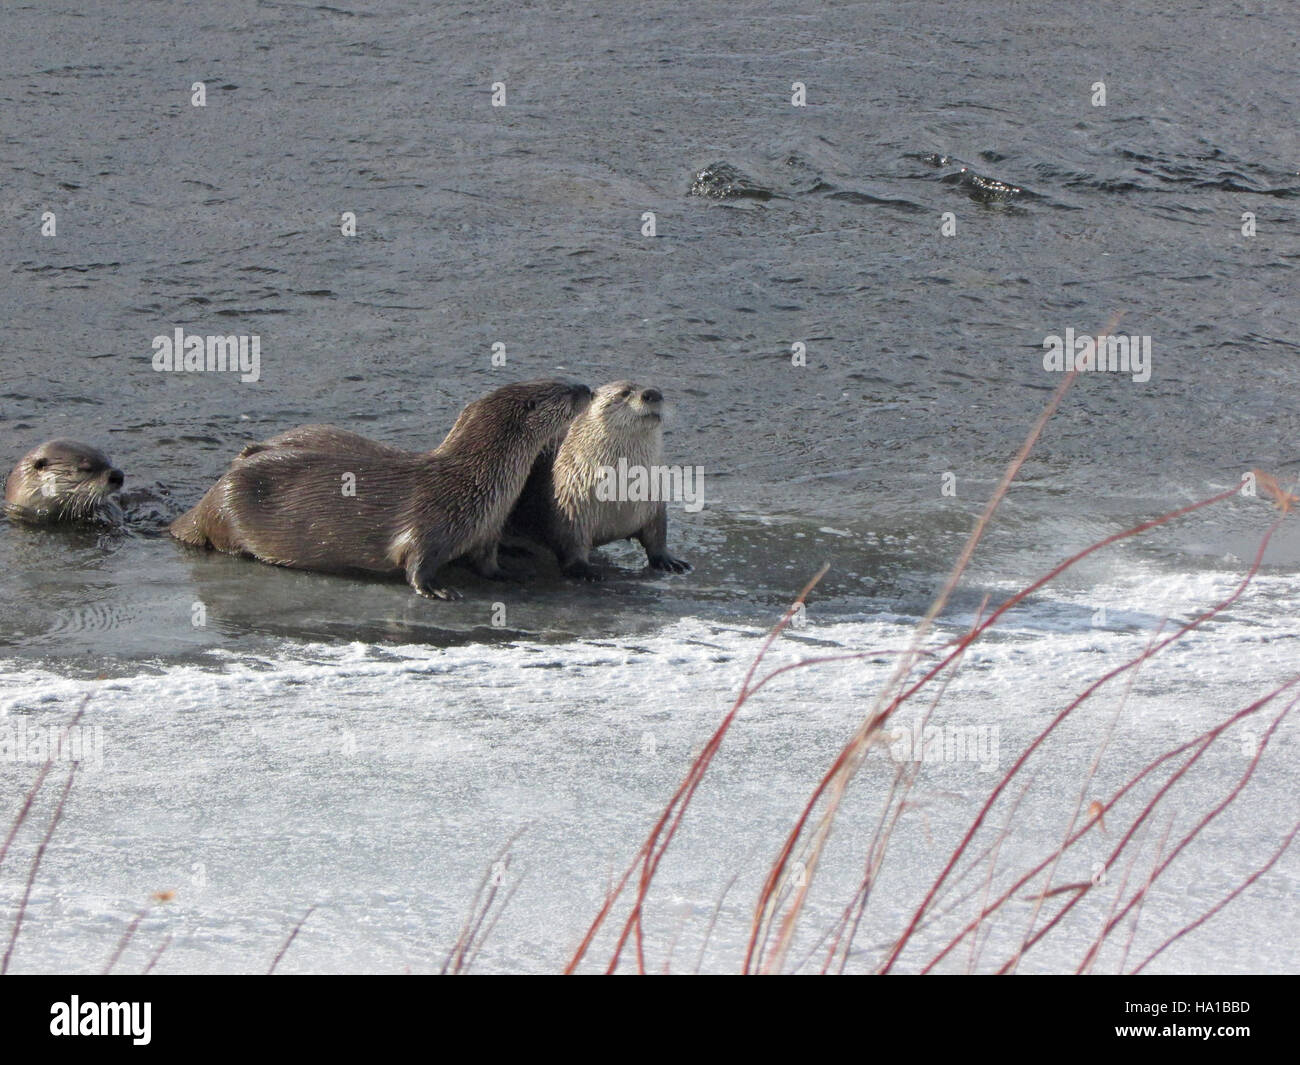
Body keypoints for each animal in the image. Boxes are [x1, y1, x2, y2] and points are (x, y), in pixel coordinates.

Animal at [170, 380, 592, 599]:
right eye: (565, 390)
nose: (587, 386)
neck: (475, 485)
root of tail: (206, 500)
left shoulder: (487, 531)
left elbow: (487, 562)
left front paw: (507, 575)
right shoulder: (427, 526)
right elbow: (415, 563)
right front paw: (437, 591)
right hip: (229, 514)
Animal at [506, 381, 691, 581]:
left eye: (659, 391)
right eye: (625, 393)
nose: (652, 394)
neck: (619, 493)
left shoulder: (654, 502)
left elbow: (657, 535)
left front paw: (668, 560)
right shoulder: (570, 507)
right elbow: (571, 543)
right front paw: (583, 570)